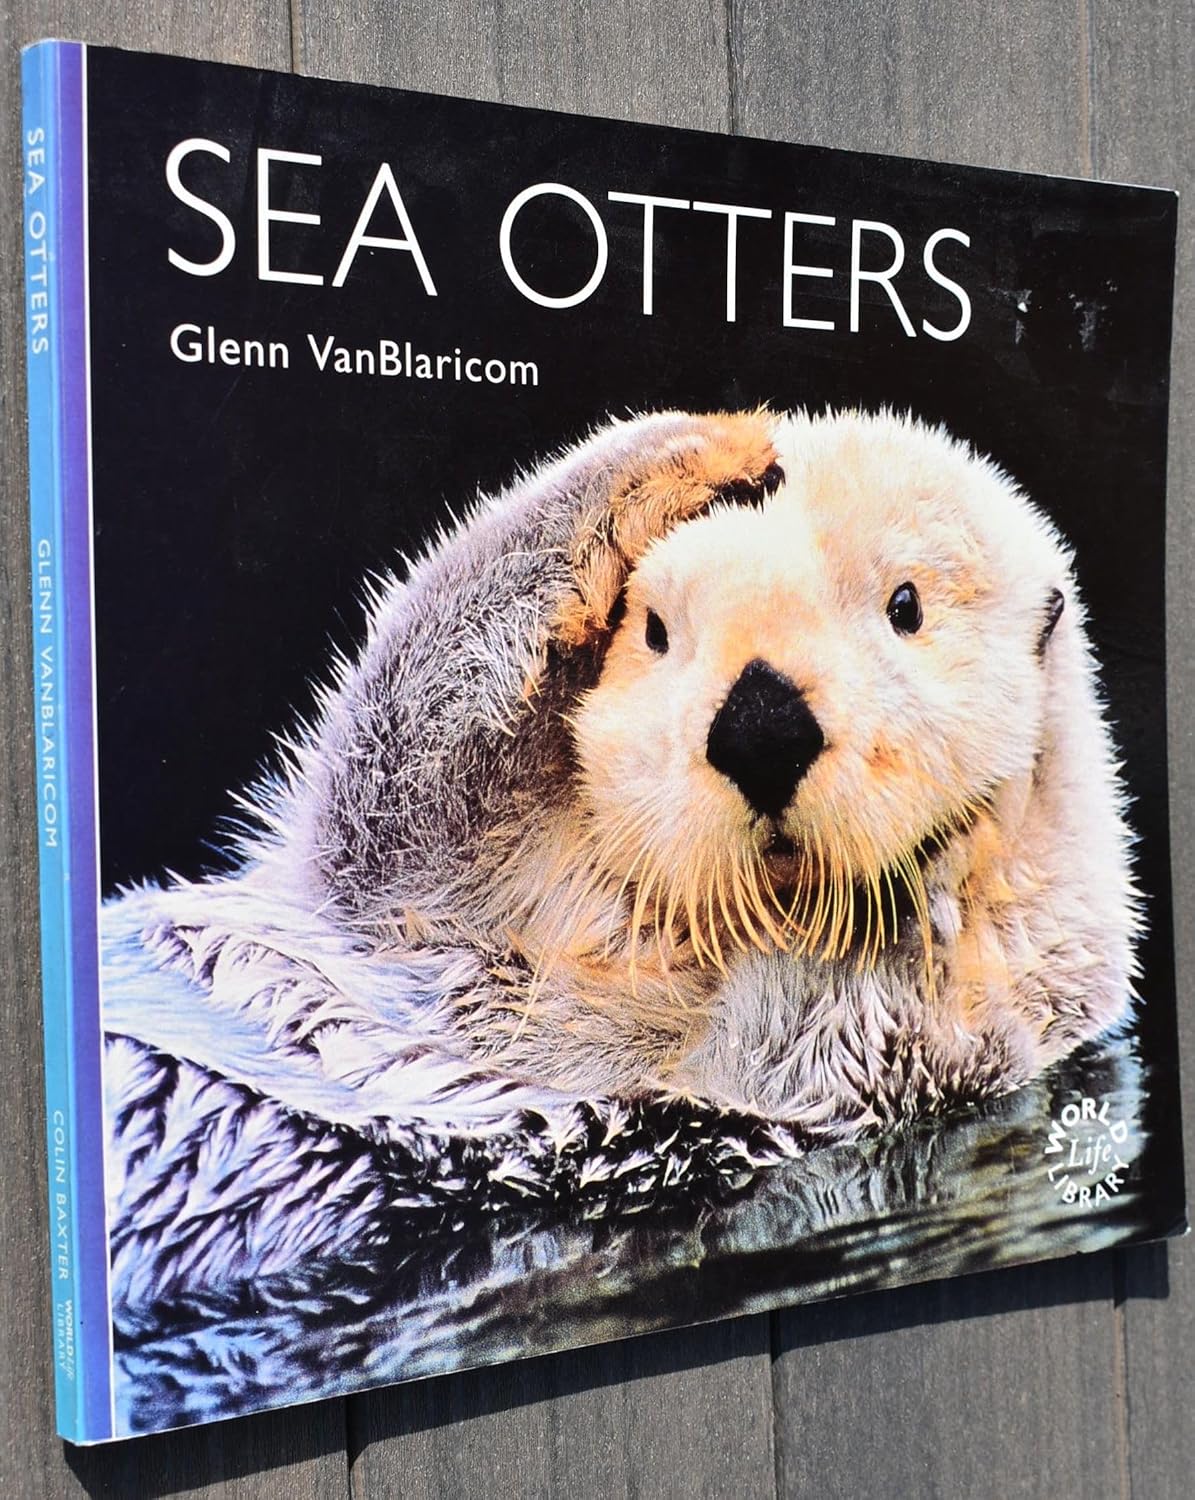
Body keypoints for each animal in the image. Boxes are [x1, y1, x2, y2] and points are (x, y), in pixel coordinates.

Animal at [105, 408, 1140, 1262]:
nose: (761, 723)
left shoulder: (859, 1075)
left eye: (906, 607)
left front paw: (954, 862)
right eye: (653, 631)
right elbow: (396, 762)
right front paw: (691, 447)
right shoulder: (402, 903)